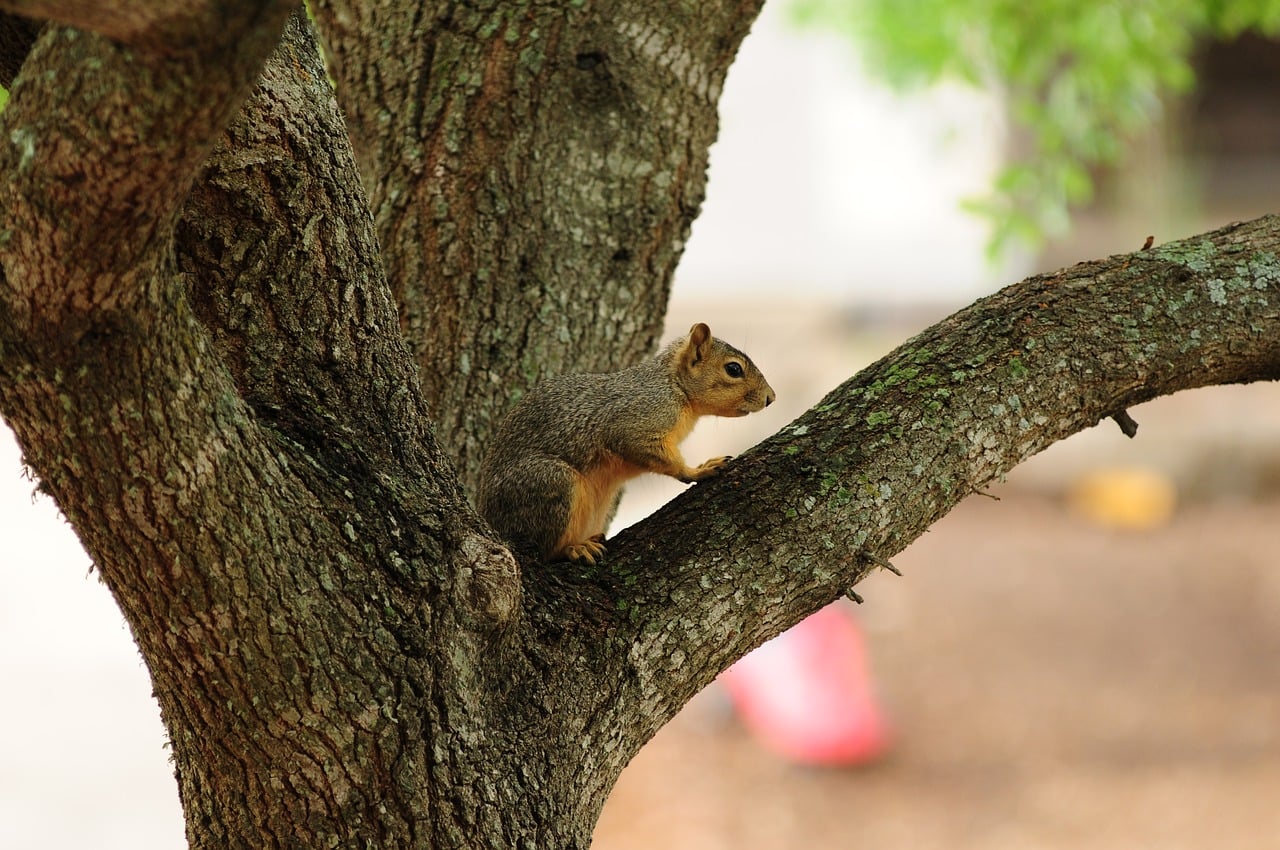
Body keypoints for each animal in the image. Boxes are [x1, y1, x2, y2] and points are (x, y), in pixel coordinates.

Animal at [476, 322, 775, 564]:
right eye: (733, 369)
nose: (770, 398)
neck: (674, 385)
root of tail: (489, 516)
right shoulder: (639, 417)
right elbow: (638, 445)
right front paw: (698, 470)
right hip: (551, 482)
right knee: (543, 550)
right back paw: (573, 549)